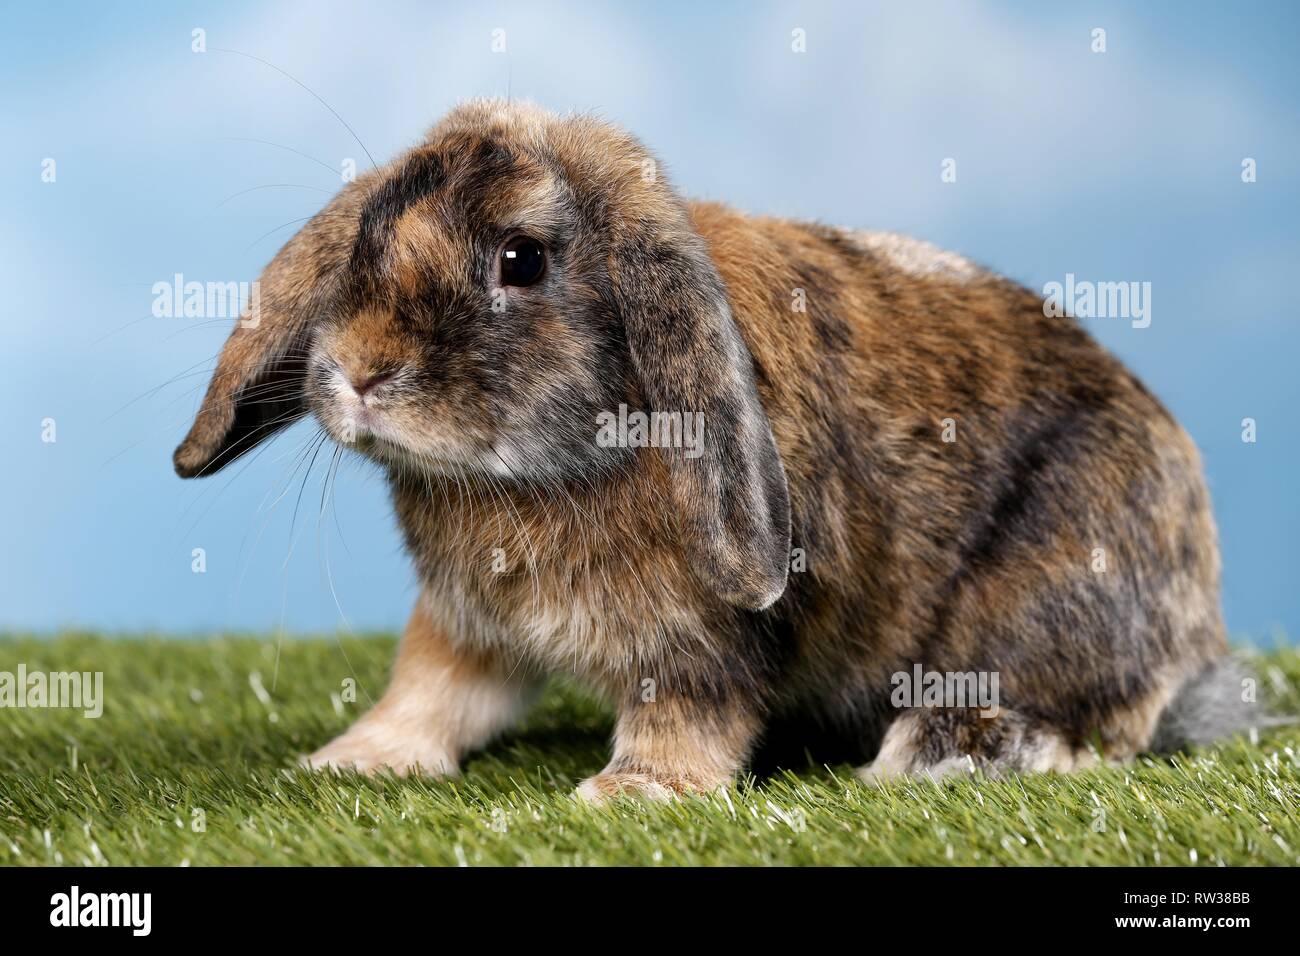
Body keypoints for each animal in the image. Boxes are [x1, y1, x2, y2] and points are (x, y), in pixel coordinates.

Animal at [174, 99, 1251, 801]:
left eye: (521, 259)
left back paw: (943, 752)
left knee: (1094, 720)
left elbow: (691, 711)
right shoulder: (465, 621)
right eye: (365, 240)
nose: (358, 371)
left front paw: (633, 791)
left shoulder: (704, 640)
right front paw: (354, 759)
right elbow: (432, 689)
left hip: (1052, 594)